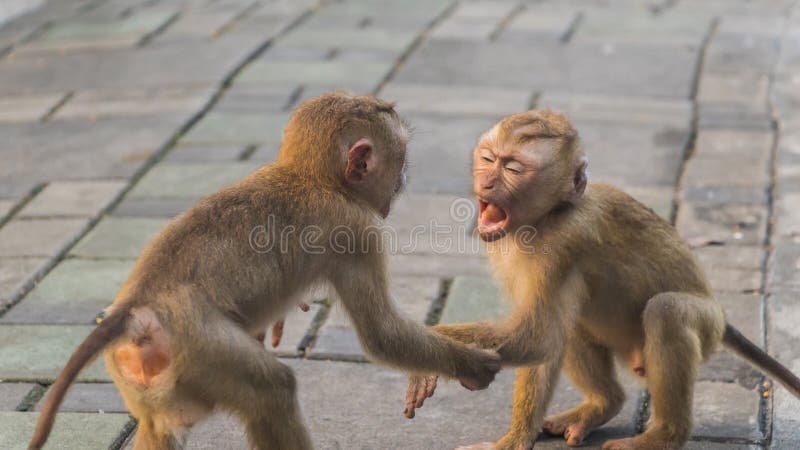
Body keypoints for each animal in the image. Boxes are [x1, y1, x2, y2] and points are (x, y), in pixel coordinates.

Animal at [28, 92, 501, 450]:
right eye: (399, 162)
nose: (403, 182)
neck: (309, 175)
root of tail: (137, 308)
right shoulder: (357, 229)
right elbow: (381, 333)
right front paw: (469, 363)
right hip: (201, 346)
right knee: (271, 390)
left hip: (144, 374)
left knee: (161, 427)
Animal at [402, 110, 800, 450]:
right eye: (487, 159)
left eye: (513, 167)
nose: (485, 182)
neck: (548, 217)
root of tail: (721, 314)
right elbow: (544, 339)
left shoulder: (562, 244)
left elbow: (539, 334)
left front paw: (441, 349)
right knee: (576, 317)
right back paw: (603, 404)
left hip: (706, 327)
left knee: (667, 311)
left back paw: (664, 435)